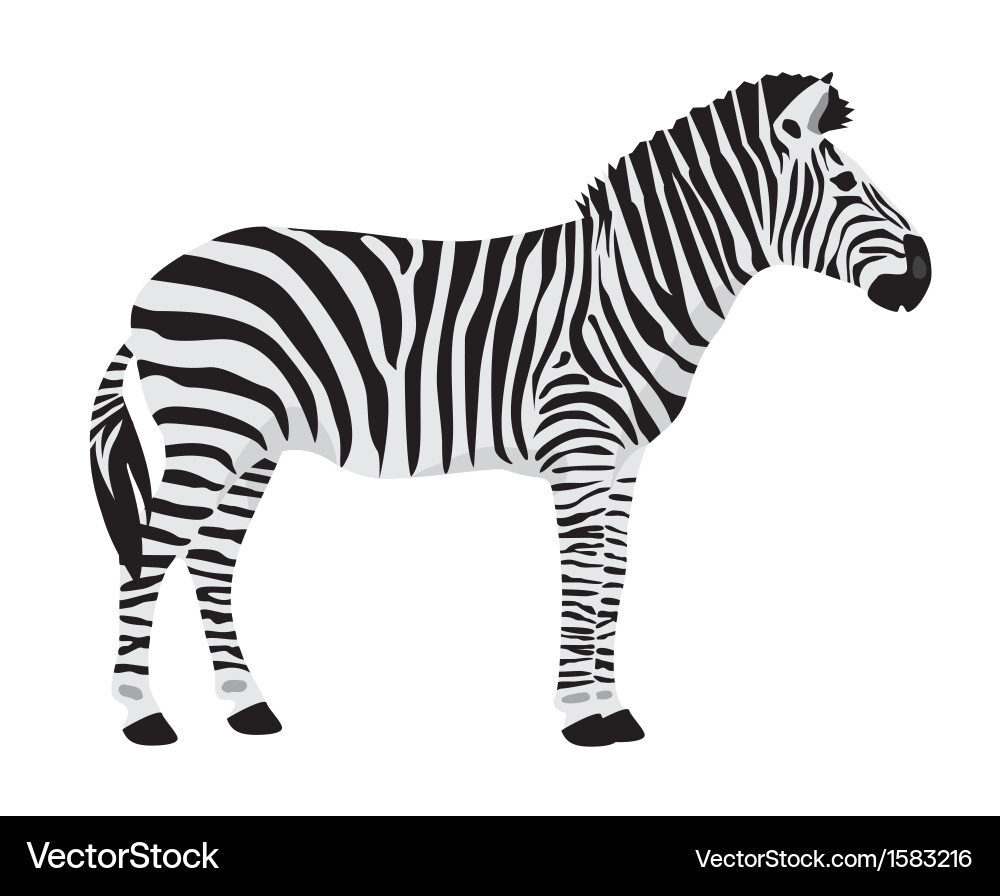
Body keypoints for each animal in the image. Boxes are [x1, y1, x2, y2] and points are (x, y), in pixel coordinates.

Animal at [90, 73, 931, 747]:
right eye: (846, 188)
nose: (924, 274)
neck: (629, 289)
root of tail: (151, 287)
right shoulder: (579, 444)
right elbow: (584, 570)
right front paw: (580, 717)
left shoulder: (625, 457)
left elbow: (617, 572)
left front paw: (615, 708)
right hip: (208, 427)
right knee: (153, 553)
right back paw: (143, 716)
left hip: (250, 442)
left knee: (211, 556)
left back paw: (247, 706)